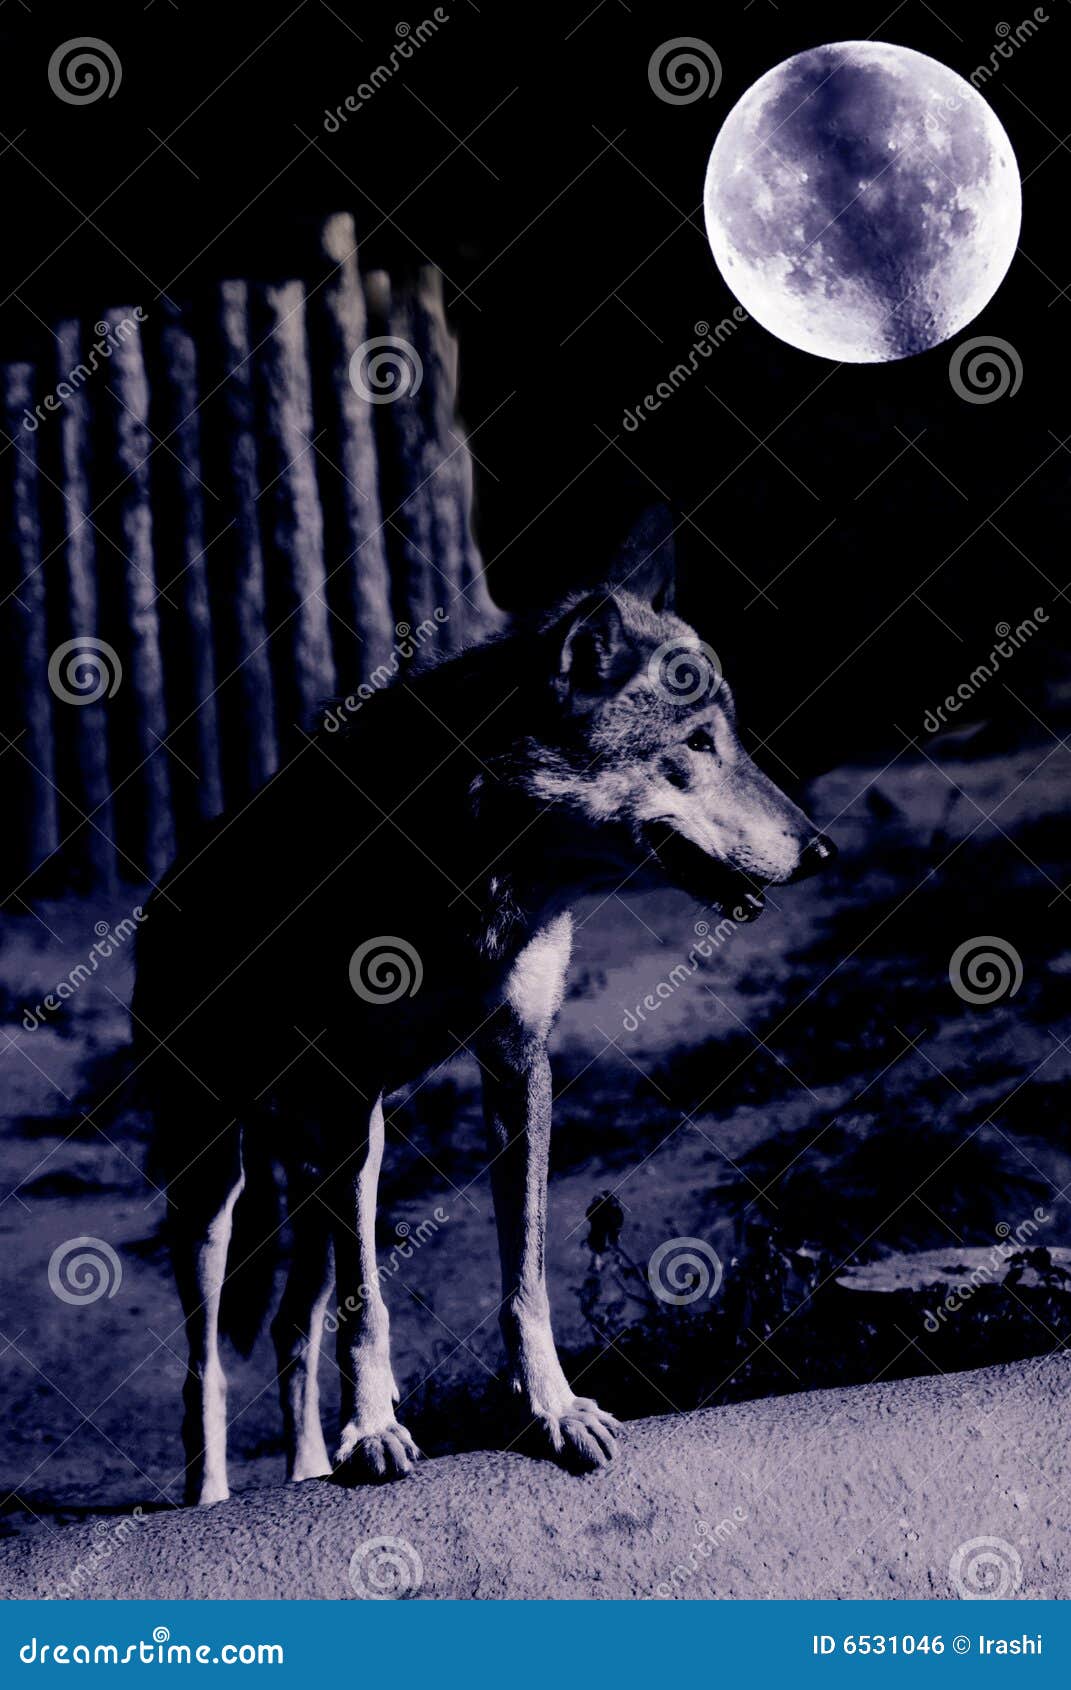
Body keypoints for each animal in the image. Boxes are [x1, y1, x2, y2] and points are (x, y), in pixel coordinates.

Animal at [133, 579, 835, 1503]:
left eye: (733, 738)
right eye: (696, 742)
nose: (821, 849)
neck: (477, 865)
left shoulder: (516, 1062)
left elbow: (523, 1282)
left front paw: (554, 1412)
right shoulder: (350, 1083)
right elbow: (370, 1307)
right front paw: (375, 1433)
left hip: (340, 1161)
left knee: (292, 1325)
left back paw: (307, 1470)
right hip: (219, 1182)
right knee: (204, 1366)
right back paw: (212, 1497)